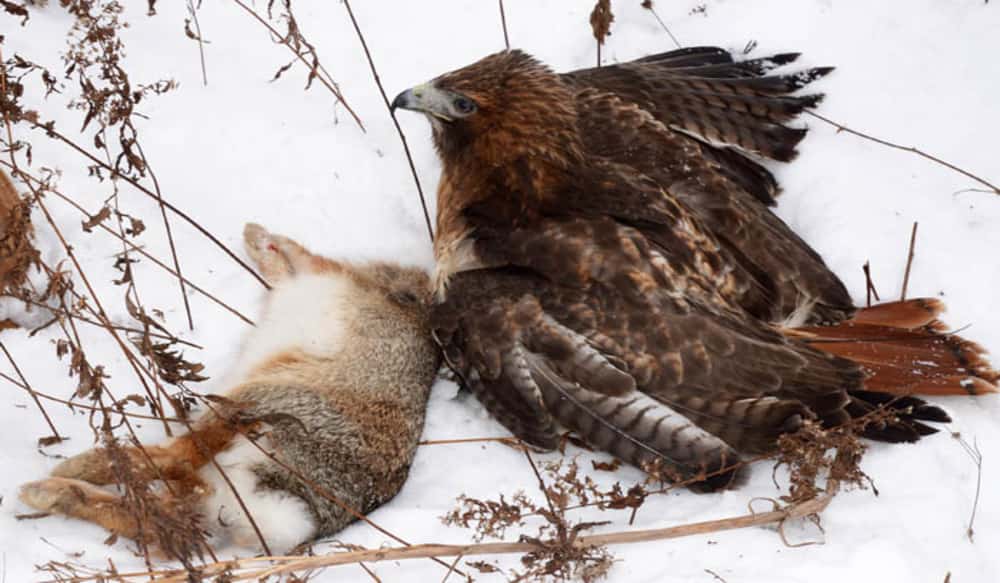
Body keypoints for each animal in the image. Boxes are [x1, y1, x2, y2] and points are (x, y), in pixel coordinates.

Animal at [19, 223, 440, 556]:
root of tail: (294, 515)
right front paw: (258, 239)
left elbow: (297, 257)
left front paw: (259, 238)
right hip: (218, 474)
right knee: (163, 521)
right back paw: (51, 492)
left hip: (256, 400)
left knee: (176, 458)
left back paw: (74, 470)